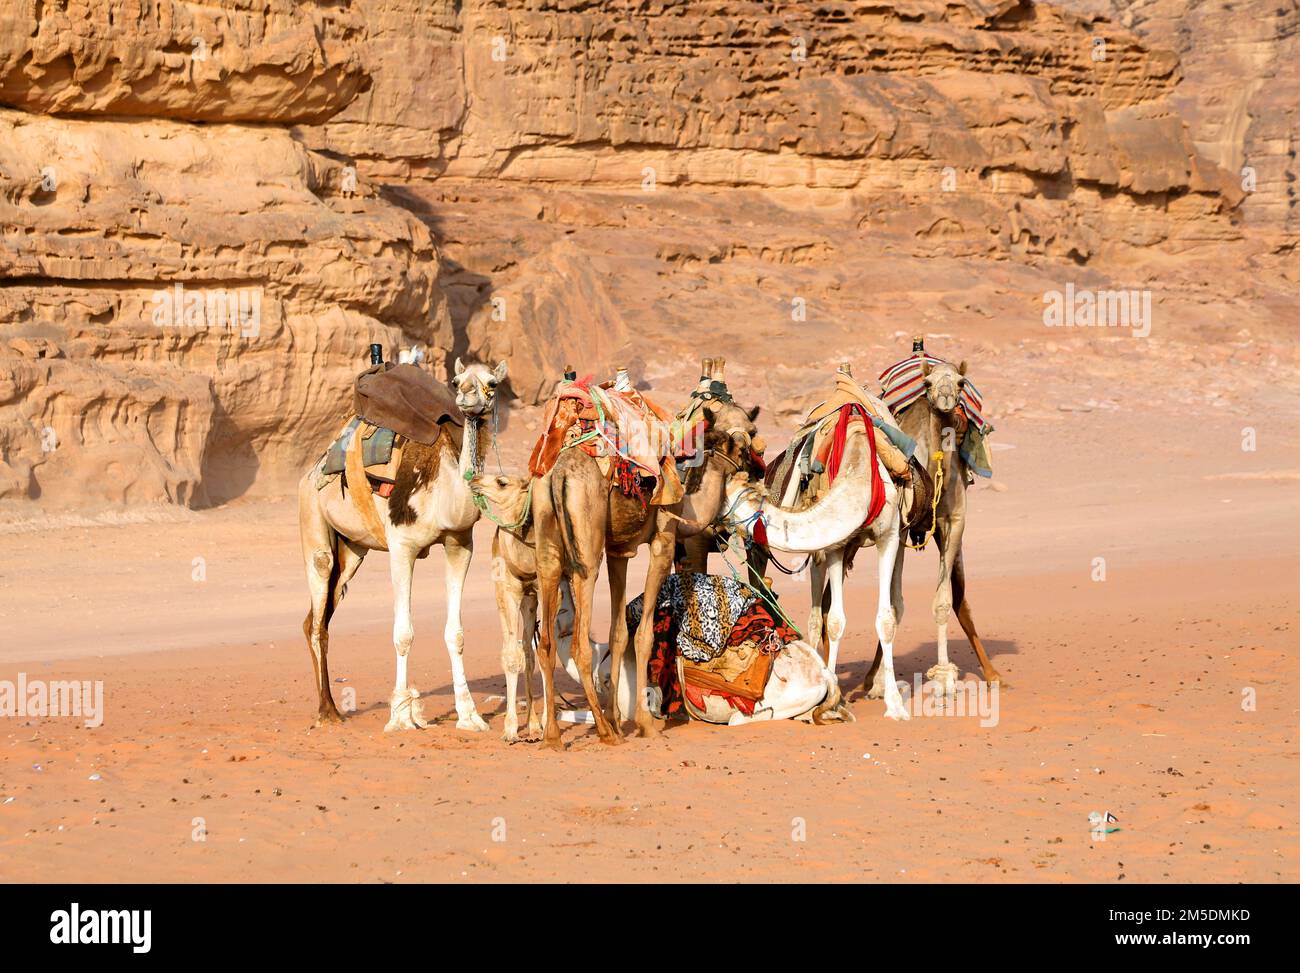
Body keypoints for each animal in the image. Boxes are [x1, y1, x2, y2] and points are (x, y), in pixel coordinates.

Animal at [297, 357, 506, 731]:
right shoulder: (401, 546)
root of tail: (311, 472)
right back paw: (328, 712)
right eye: (456, 381)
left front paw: (470, 716)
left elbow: (456, 634)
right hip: (313, 523)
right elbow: (403, 633)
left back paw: (330, 707)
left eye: (492, 383)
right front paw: (400, 717)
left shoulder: (460, 544)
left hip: (351, 549)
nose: (467, 398)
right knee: (319, 618)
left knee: (316, 617)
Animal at [532, 380, 761, 748]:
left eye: (751, 430)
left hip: (547, 538)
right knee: (580, 642)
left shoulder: (618, 552)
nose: (752, 468)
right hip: (586, 544)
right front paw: (643, 723)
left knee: (549, 640)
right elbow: (644, 635)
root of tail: (560, 472)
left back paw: (554, 736)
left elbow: (618, 634)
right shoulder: (663, 541)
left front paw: (617, 715)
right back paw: (606, 732)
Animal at [864, 358, 1002, 697]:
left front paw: (944, 678)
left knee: (960, 599)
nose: (945, 399)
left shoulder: (954, 524)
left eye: (961, 382)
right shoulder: (901, 529)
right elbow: (895, 604)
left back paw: (993, 674)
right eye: (927, 384)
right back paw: (870, 679)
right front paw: (879, 682)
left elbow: (943, 602)